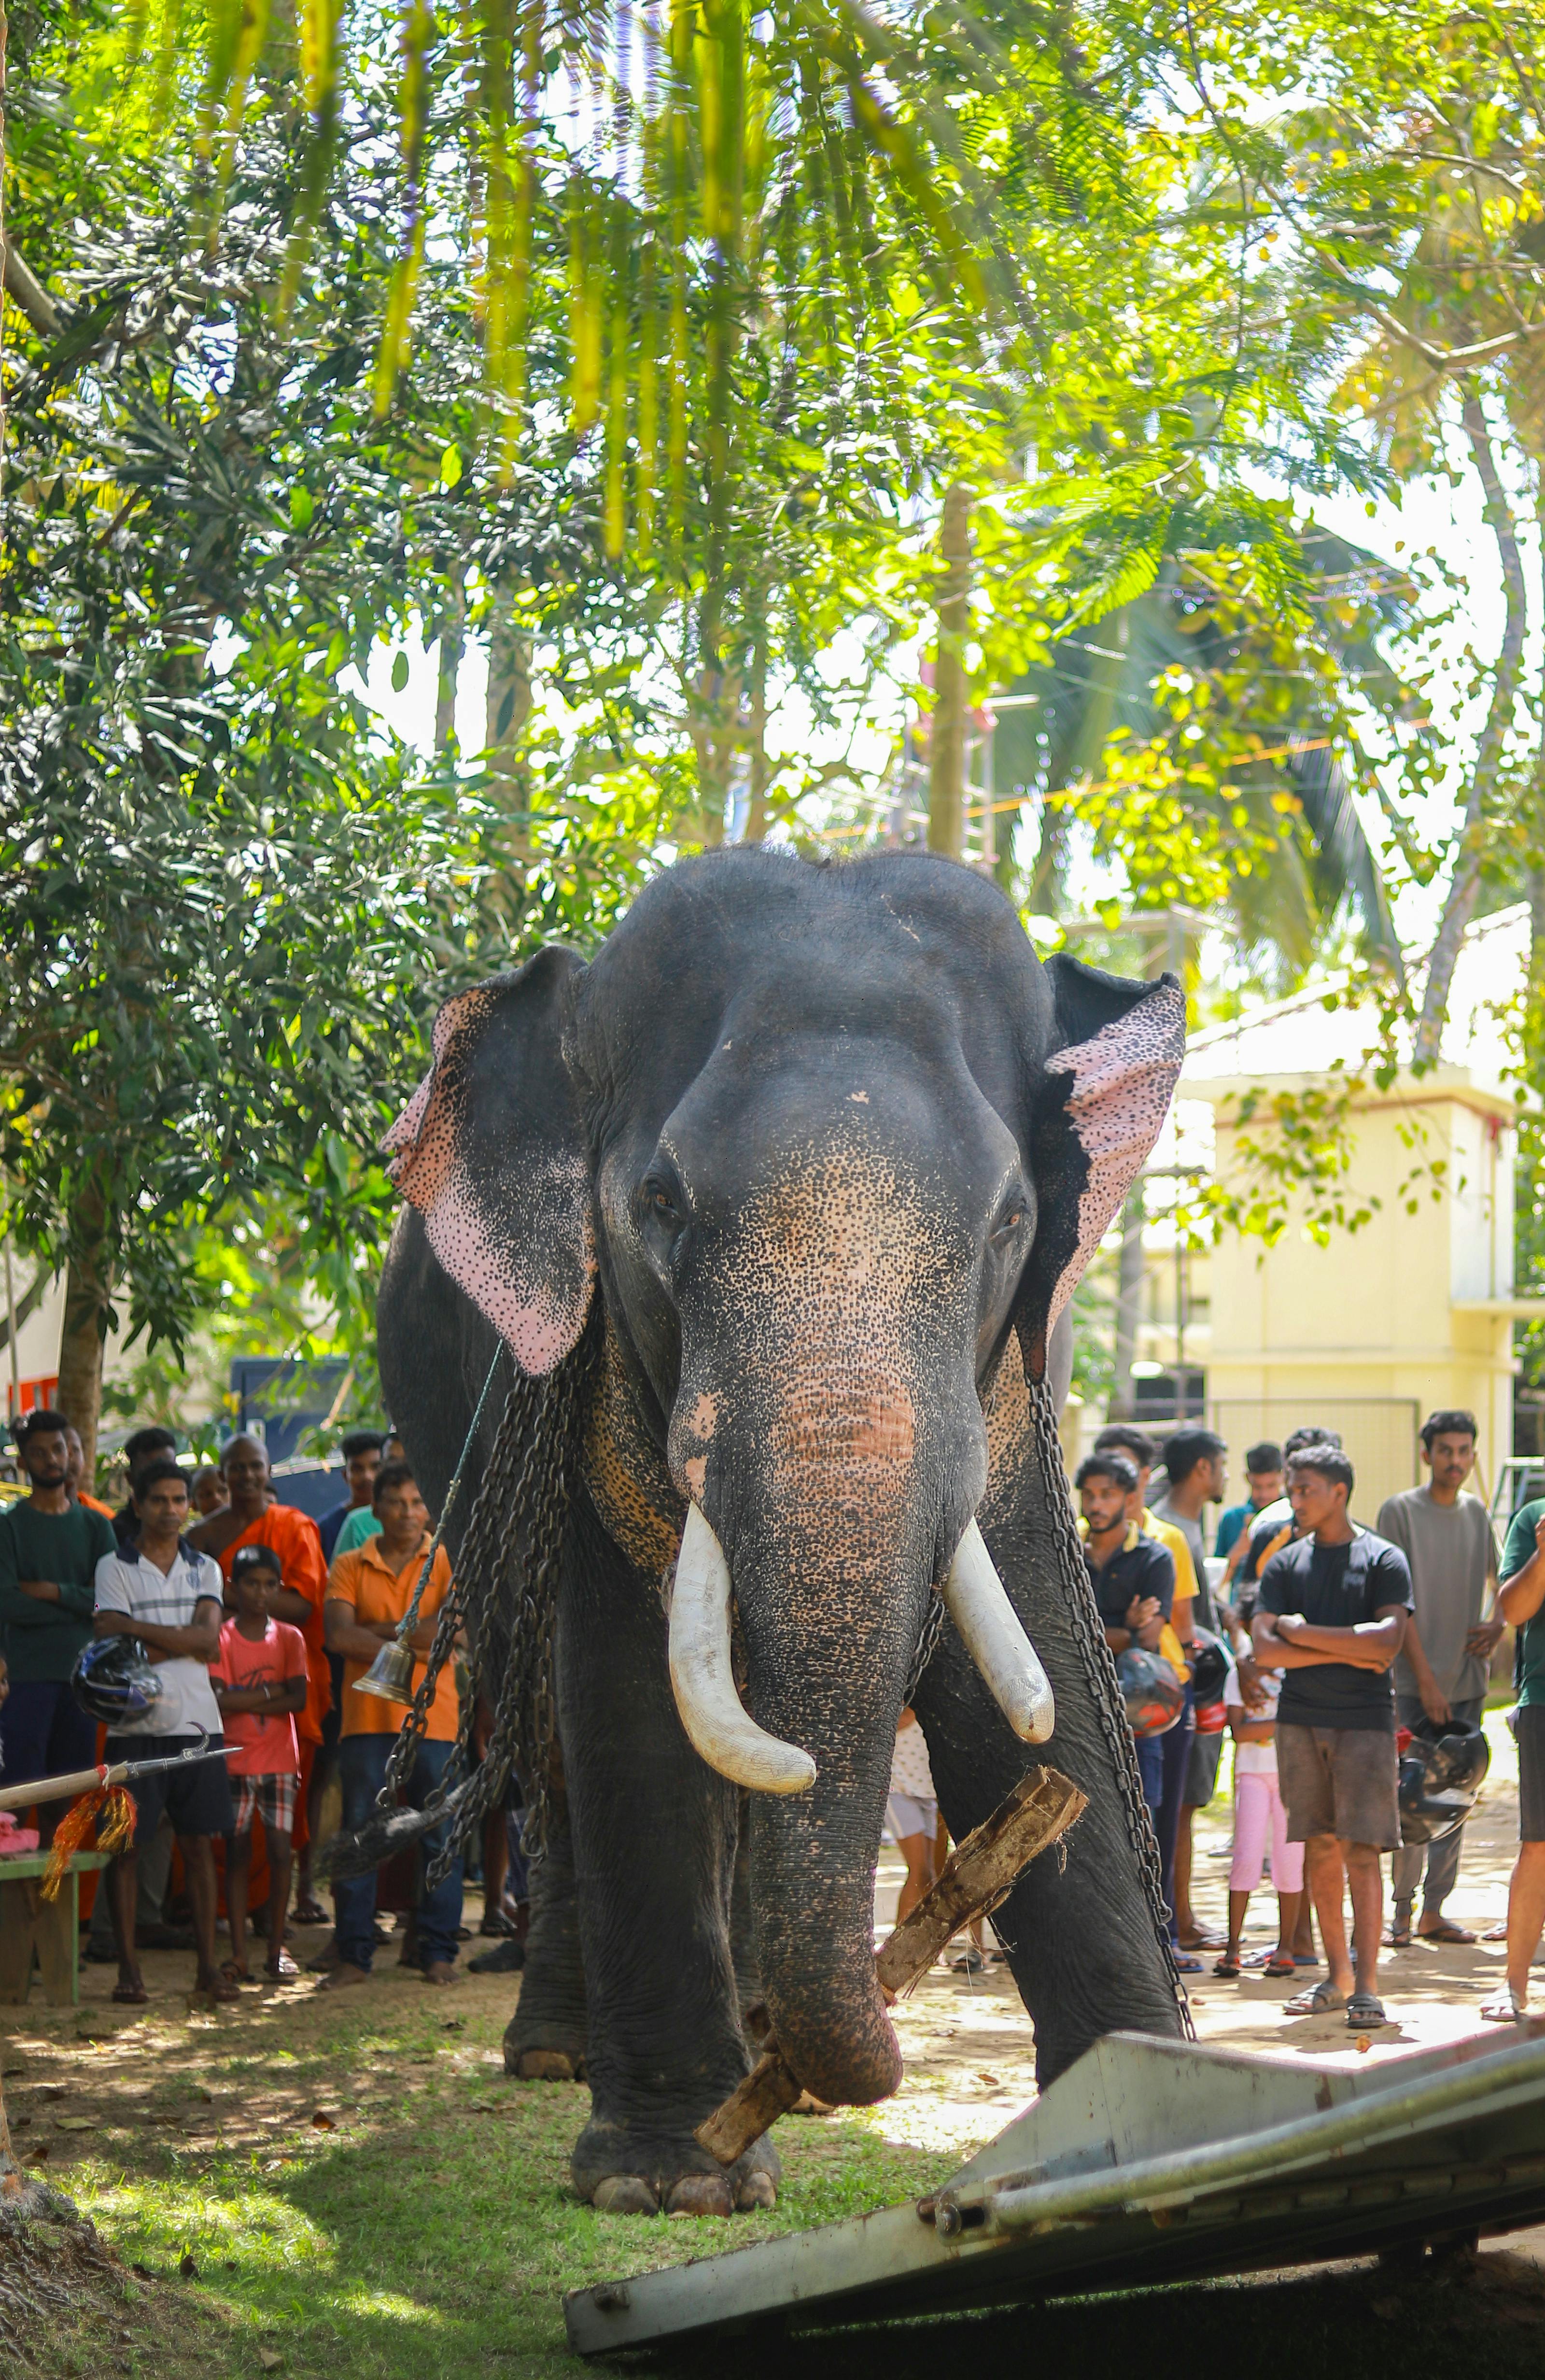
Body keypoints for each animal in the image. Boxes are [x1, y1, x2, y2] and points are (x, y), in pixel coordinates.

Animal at [377, 846, 1190, 2217]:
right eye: (659, 1201)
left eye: (1011, 1220)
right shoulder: (586, 1390)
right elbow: (623, 1704)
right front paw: (672, 2184)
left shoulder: (1014, 1399)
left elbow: (1040, 1691)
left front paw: (1157, 2107)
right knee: (553, 1733)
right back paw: (568, 2054)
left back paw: (770, 2057)